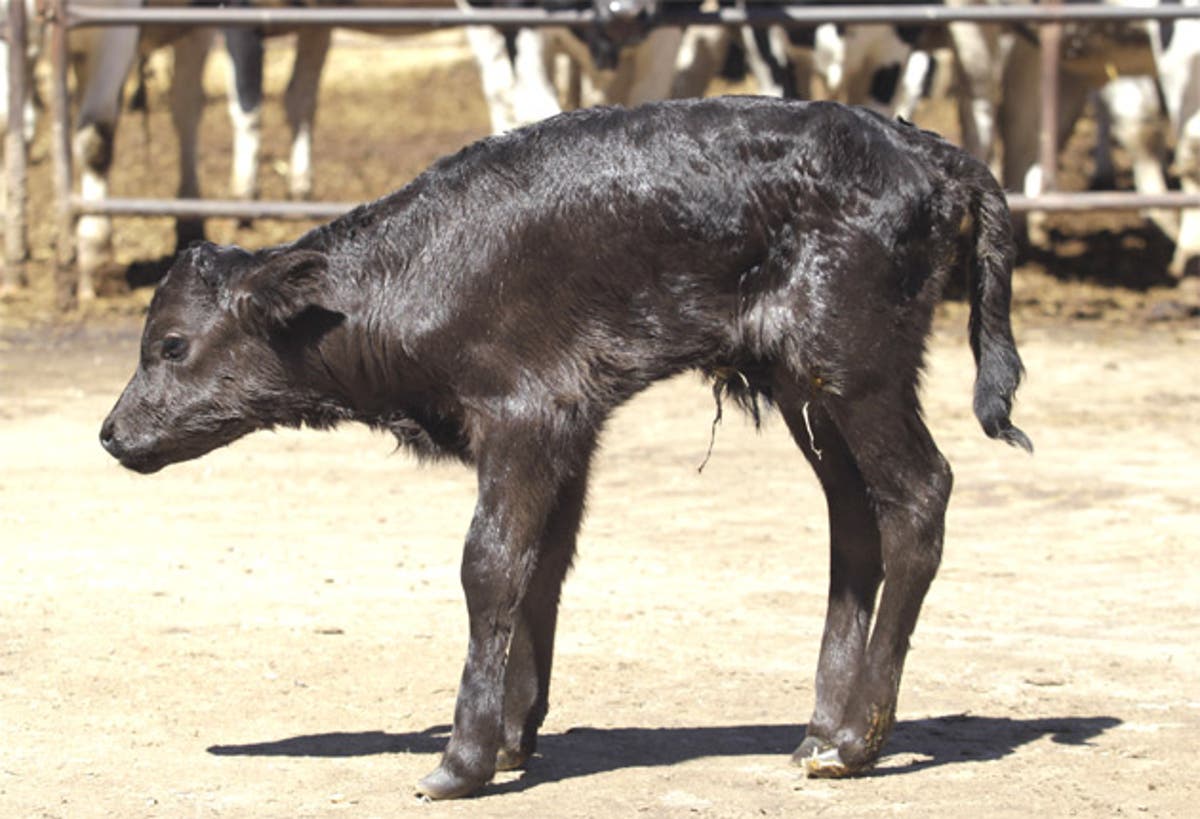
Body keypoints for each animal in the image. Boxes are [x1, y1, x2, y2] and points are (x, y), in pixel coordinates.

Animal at [100, 96, 1031, 799]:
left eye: (172, 345)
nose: (111, 432)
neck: (421, 271)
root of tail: (925, 149)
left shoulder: (524, 418)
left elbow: (490, 565)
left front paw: (462, 758)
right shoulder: (570, 428)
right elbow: (541, 565)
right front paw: (515, 730)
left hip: (860, 369)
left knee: (919, 495)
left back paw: (858, 741)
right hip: (806, 389)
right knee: (855, 522)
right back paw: (821, 729)